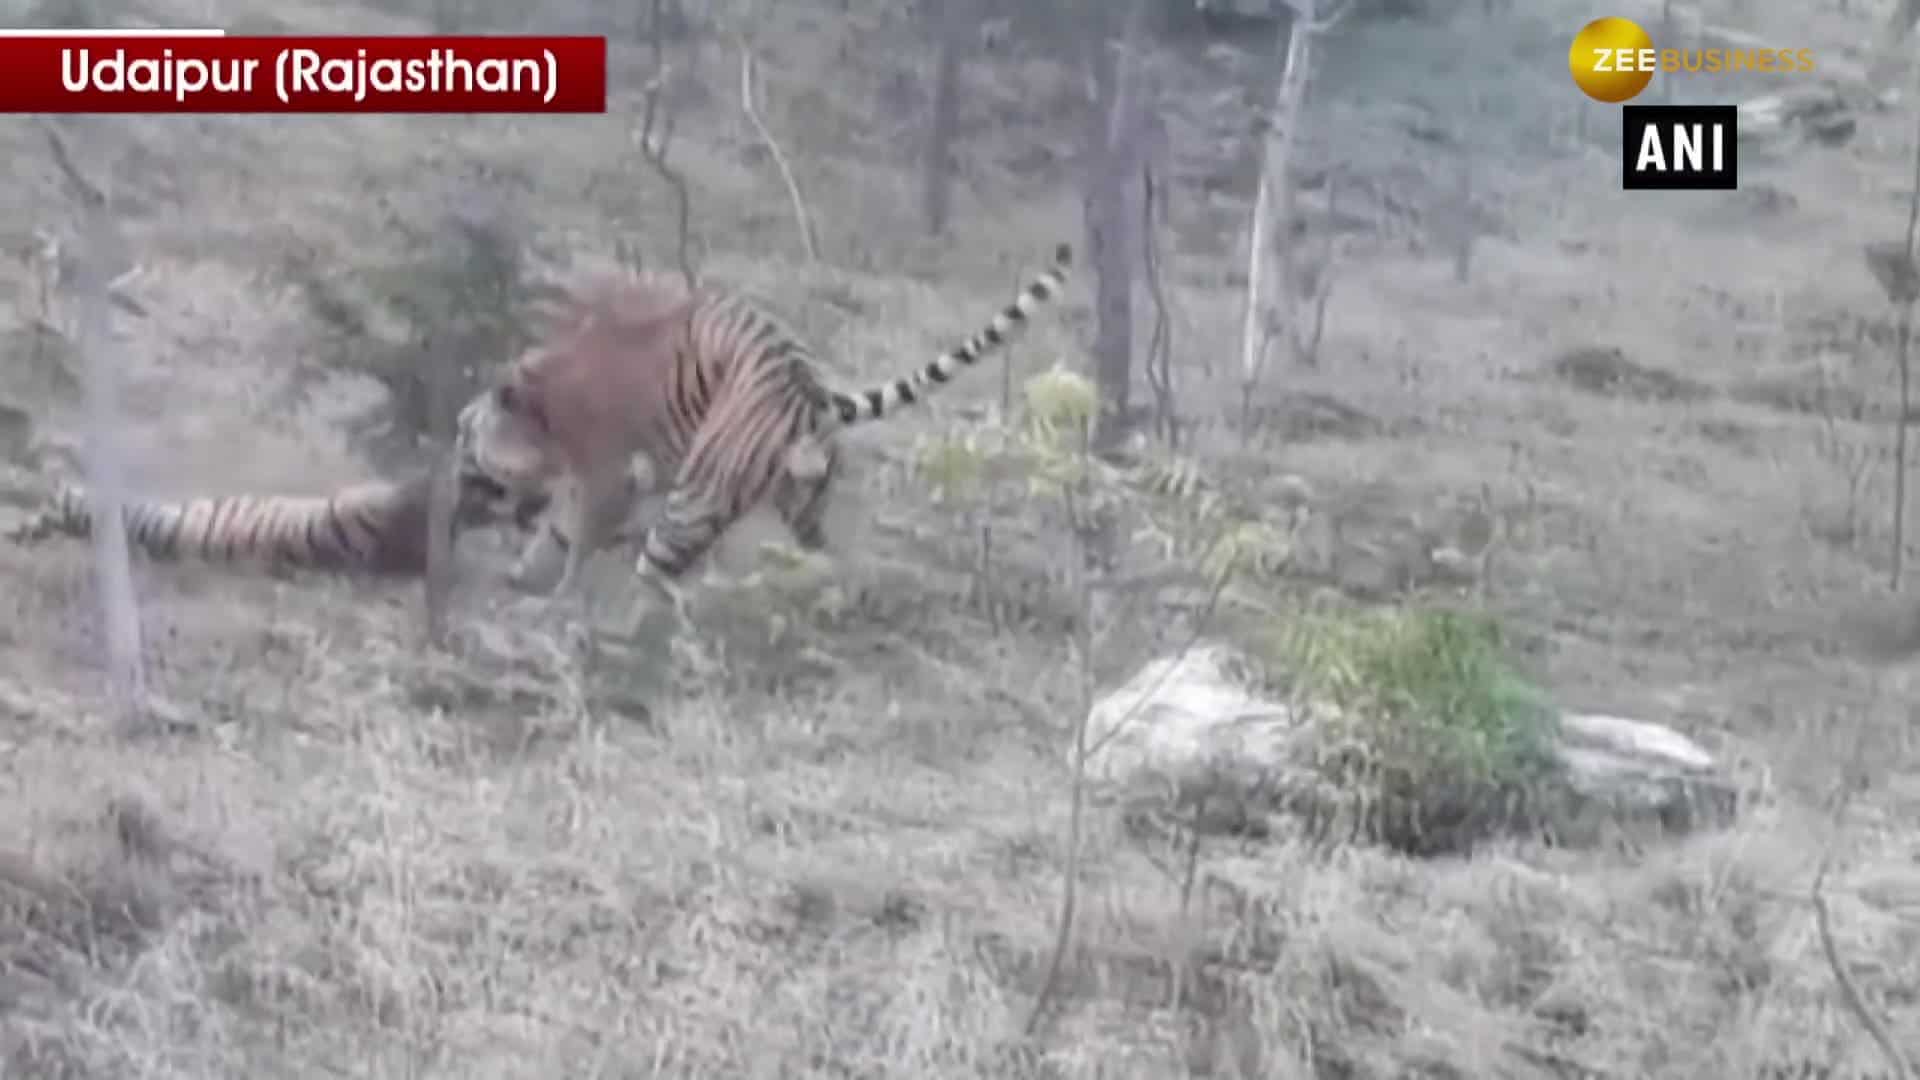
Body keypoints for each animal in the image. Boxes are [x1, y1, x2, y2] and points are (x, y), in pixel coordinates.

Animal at [454, 242, 1074, 615]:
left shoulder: (607, 474)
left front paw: (555, 601)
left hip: (694, 498)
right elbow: (558, 531)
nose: (454, 463)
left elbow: (575, 539)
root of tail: (812, 390)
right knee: (827, 560)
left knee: (653, 575)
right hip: (805, 504)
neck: (544, 409)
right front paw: (522, 575)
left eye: (465, 433)